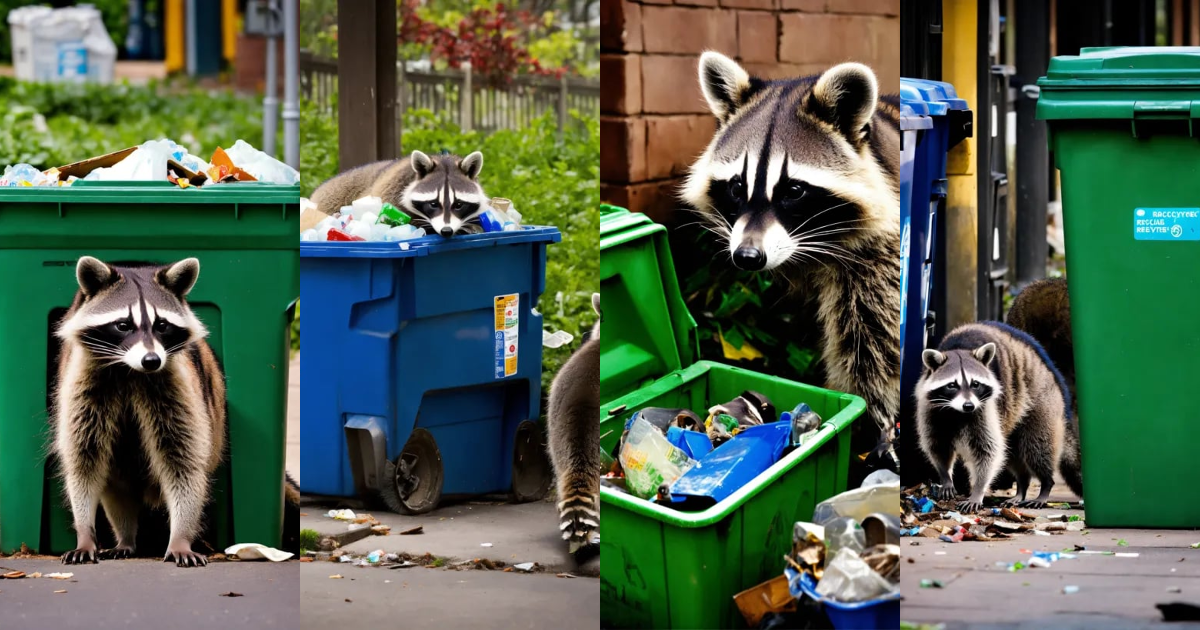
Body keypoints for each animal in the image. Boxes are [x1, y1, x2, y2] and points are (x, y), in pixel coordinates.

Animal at [53, 257, 226, 567]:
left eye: (162, 325)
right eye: (122, 325)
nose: (151, 360)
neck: (130, 371)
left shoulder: (177, 387)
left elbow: (184, 464)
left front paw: (180, 537)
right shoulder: (82, 386)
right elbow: (83, 462)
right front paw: (85, 532)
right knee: (116, 488)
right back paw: (125, 538)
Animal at [681, 51, 902, 455]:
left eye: (794, 191)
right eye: (737, 187)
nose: (747, 257)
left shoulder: (878, 259)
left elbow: (872, 348)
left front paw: (873, 421)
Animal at [915, 322, 1083, 512]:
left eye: (975, 384)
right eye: (952, 385)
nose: (968, 406)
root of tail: (1055, 376)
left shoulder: (985, 406)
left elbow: (988, 450)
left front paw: (978, 490)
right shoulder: (930, 408)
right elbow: (937, 444)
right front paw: (945, 477)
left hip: (1042, 402)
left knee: (1038, 448)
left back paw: (1045, 484)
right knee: (1013, 454)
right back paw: (1022, 486)